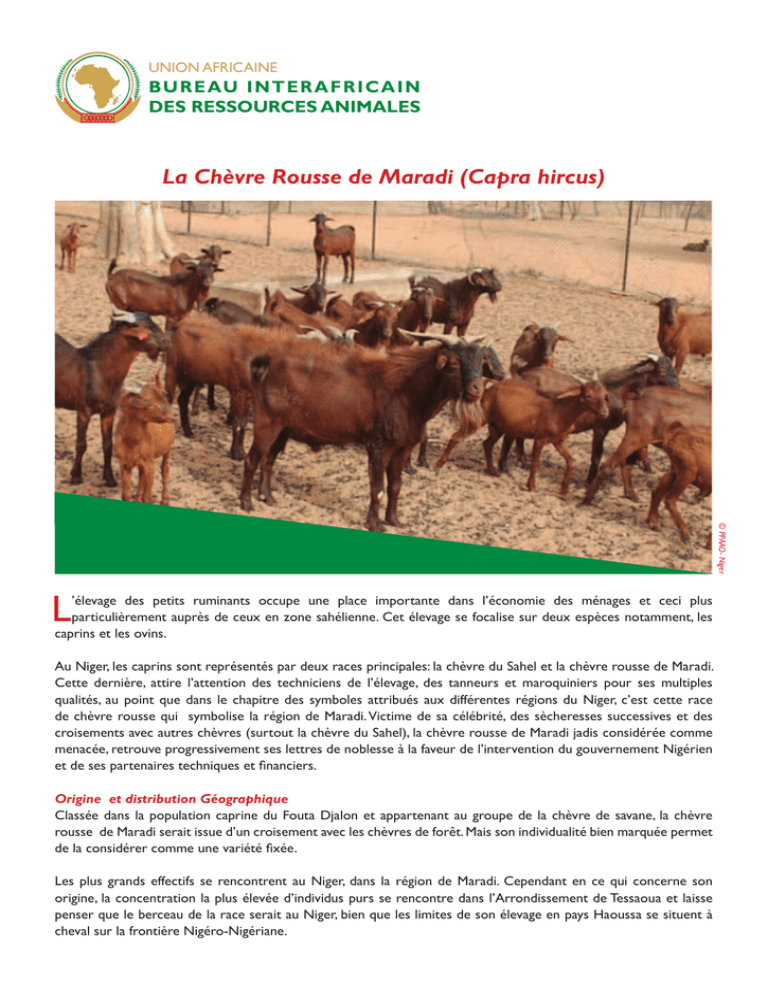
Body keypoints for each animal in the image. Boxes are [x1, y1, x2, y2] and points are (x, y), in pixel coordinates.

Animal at [55, 314, 168, 486]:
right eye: (144, 327)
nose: (167, 342)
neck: (100, 371)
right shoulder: (83, 411)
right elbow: (81, 444)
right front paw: (76, 476)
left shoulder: (109, 411)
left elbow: (108, 445)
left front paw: (110, 478)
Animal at [114, 371, 176, 504]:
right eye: (152, 403)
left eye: (163, 398)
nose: (172, 418)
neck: (132, 442)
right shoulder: (124, 464)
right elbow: (126, 495)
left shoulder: (150, 464)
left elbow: (148, 497)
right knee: (141, 478)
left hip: (167, 450)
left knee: (165, 470)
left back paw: (165, 499)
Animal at [239, 332, 490, 530]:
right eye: (454, 363)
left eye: (480, 362)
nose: (477, 388)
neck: (406, 393)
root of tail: (268, 362)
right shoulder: (379, 446)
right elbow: (377, 488)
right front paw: (375, 524)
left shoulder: (401, 448)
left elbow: (396, 487)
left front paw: (394, 520)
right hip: (267, 423)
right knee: (252, 459)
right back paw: (246, 503)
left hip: (283, 429)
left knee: (268, 460)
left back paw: (267, 497)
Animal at [582, 386, 712, 505]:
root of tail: (635, 397)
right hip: (635, 439)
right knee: (609, 465)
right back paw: (587, 498)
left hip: (636, 441)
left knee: (625, 465)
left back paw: (631, 494)